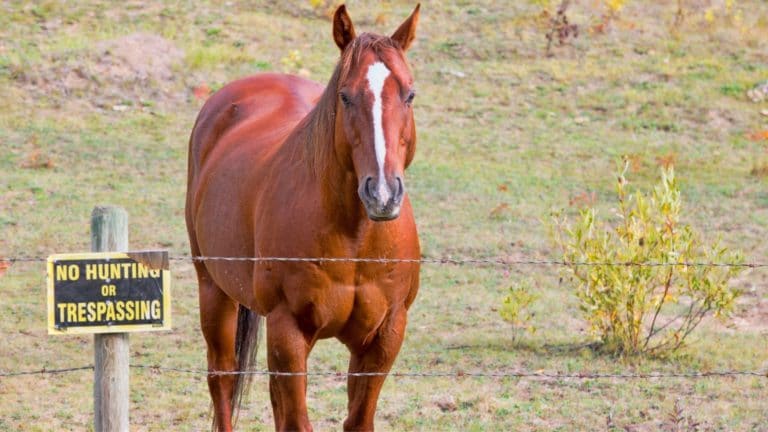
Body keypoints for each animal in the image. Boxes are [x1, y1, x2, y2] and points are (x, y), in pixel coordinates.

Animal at [185, 4, 421, 431]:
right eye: (345, 96)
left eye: (409, 94)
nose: (381, 193)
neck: (356, 238)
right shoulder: (288, 331)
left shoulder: (384, 337)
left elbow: (356, 420)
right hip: (213, 290)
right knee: (222, 379)